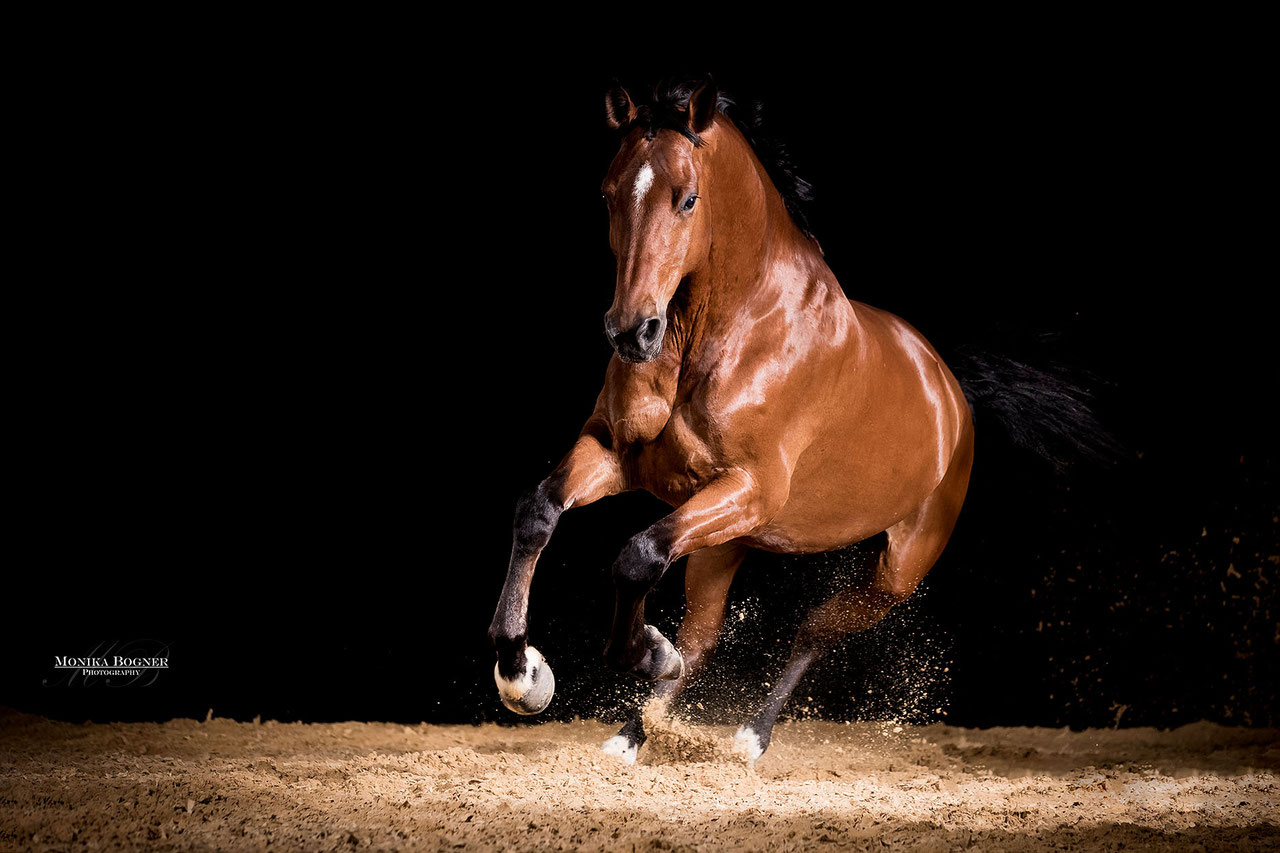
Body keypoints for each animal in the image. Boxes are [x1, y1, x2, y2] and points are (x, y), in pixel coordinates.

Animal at [488, 75, 974, 764]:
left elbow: (636, 556)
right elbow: (538, 512)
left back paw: (749, 734)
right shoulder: (613, 452)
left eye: (688, 199)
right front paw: (521, 673)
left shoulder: (752, 488)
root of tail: (949, 392)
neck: (721, 332)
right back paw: (632, 734)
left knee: (811, 631)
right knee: (705, 636)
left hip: (893, 573)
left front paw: (645, 651)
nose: (631, 332)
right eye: (607, 193)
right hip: (725, 540)